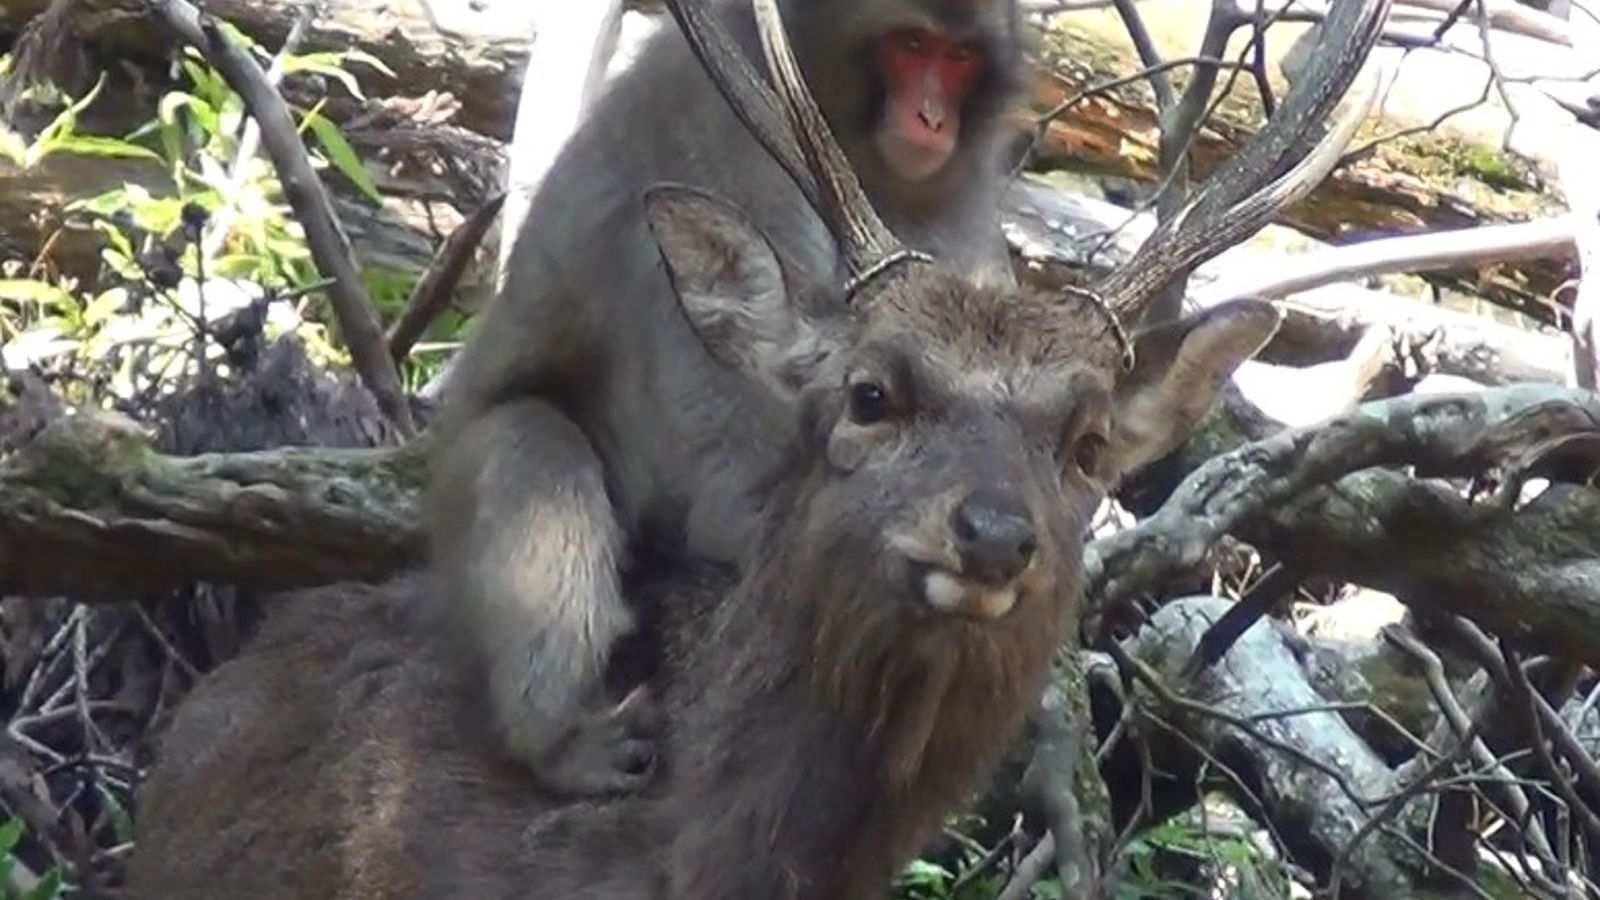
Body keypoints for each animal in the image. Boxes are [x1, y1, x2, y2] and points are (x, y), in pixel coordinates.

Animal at [426, 0, 1028, 798]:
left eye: (959, 58)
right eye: (910, 45)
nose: (932, 118)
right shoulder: (724, 145)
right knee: (532, 447)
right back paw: (558, 740)